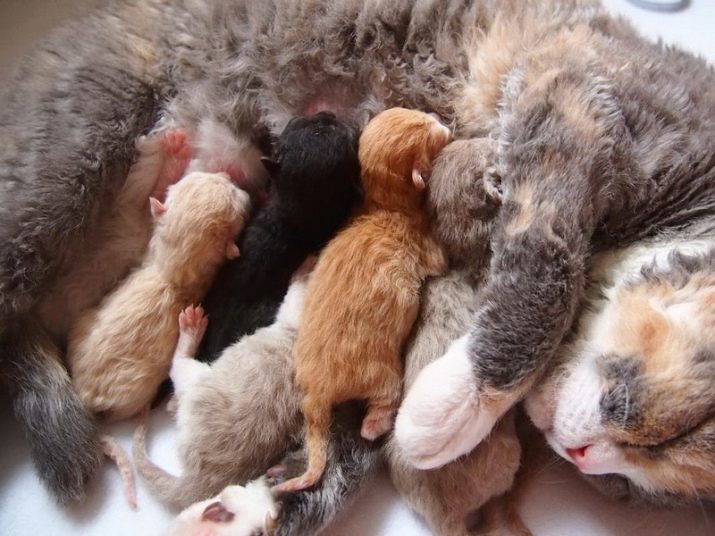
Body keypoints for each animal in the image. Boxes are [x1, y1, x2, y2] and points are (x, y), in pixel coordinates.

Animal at [272, 108, 450, 494]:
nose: (441, 119)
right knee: (380, 406)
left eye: (417, 113)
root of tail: (317, 390)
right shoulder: (426, 244)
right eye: (430, 129)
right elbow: (442, 259)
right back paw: (374, 426)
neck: (384, 202)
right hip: (381, 372)